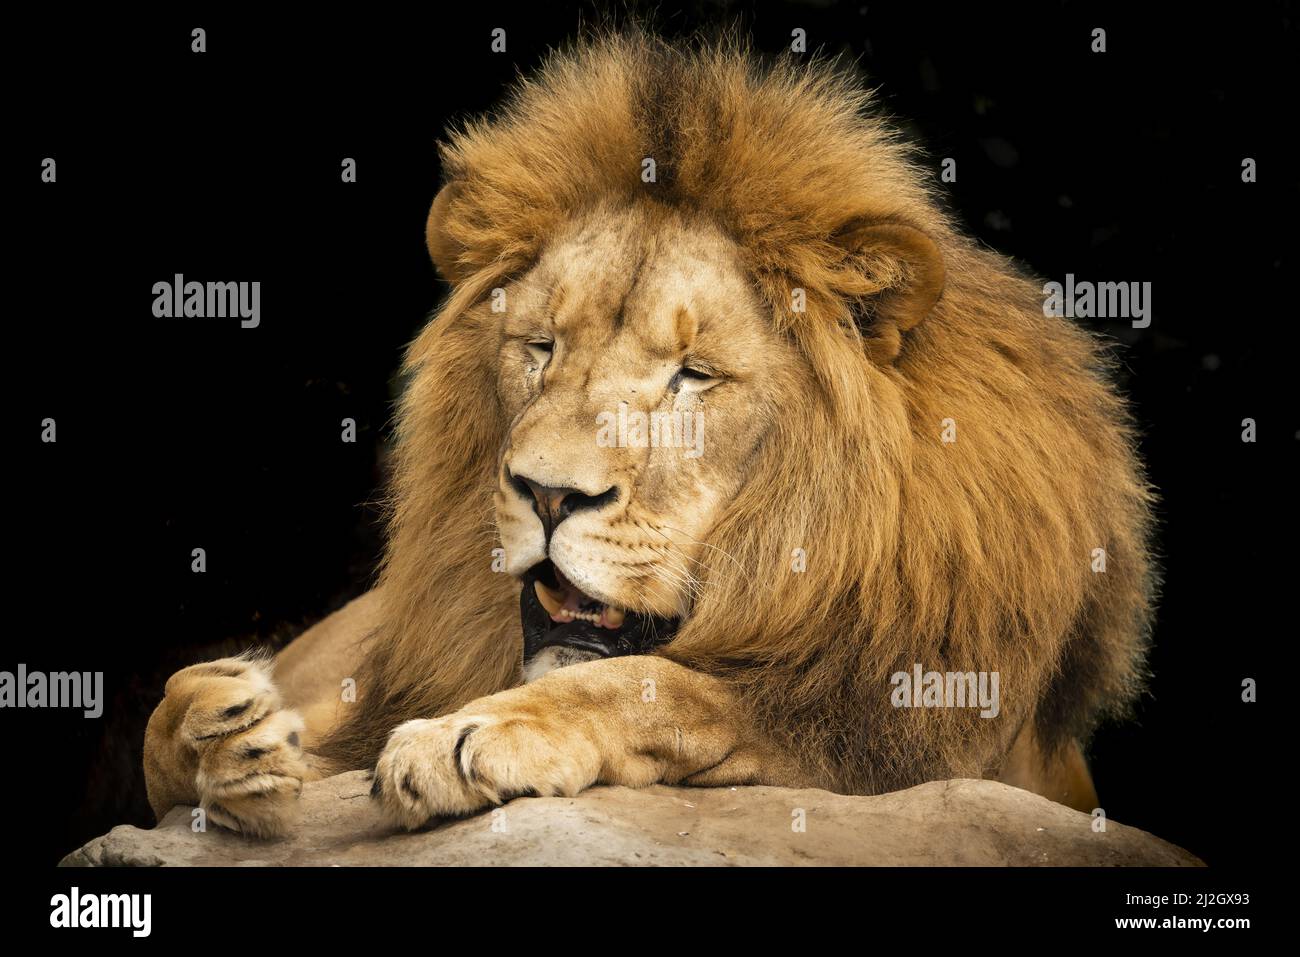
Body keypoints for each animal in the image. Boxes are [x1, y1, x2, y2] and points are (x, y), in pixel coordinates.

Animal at [143, 33, 1156, 838]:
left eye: (692, 376)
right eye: (541, 348)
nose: (549, 495)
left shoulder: (896, 735)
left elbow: (668, 686)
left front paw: (476, 732)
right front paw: (227, 738)